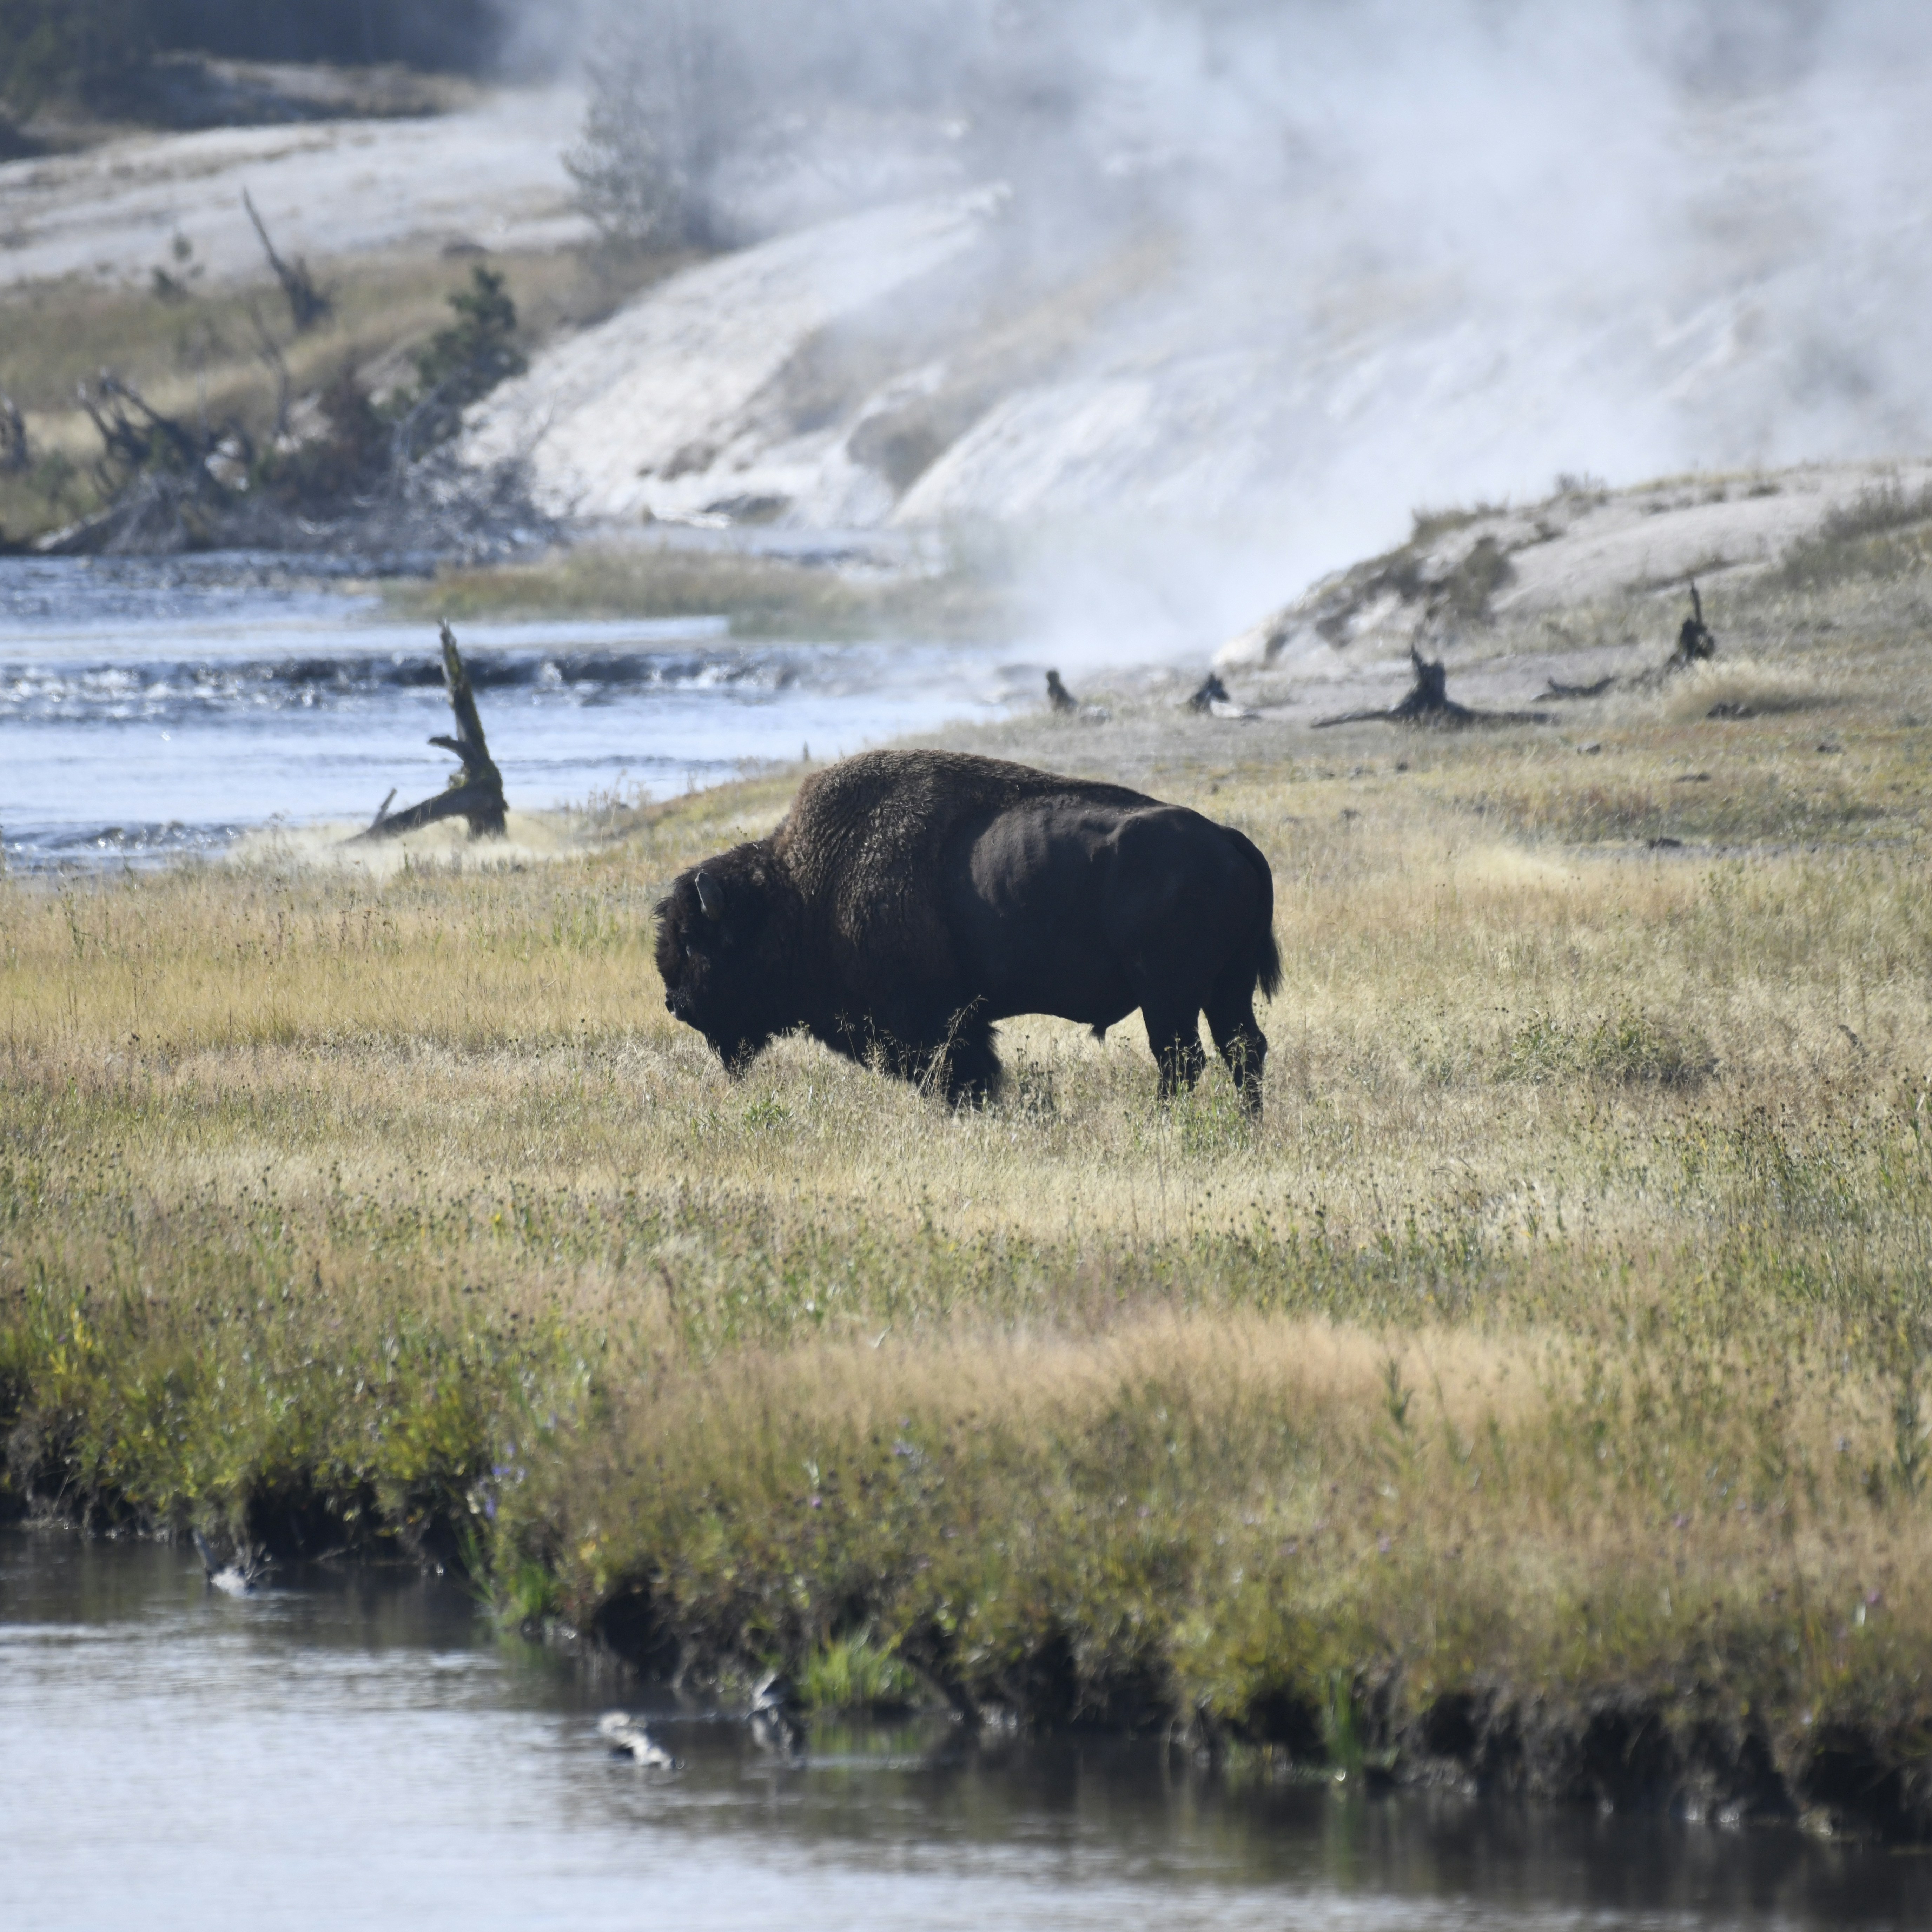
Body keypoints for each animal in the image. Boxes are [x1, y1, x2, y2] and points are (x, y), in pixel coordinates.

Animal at [654, 749, 1280, 1112]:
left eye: (696, 942)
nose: (675, 1003)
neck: (802, 890)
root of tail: (1227, 839)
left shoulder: (931, 1019)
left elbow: (958, 1072)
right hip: (1226, 987)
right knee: (1242, 1049)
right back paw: (1244, 1127)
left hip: (1168, 993)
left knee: (1182, 1059)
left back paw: (1162, 1124)